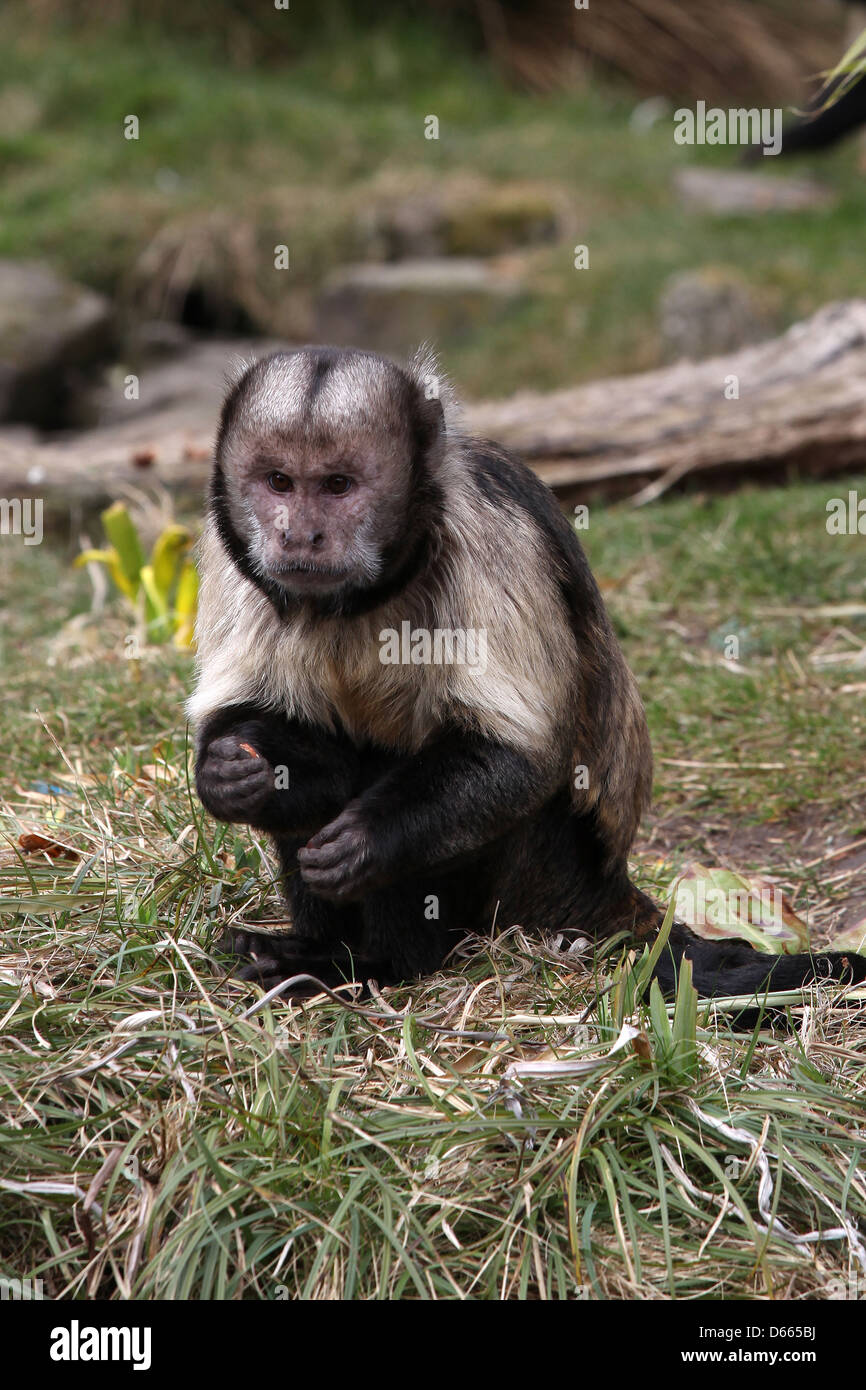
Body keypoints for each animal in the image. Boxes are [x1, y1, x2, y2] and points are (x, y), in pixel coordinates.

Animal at [188, 345, 866, 1006]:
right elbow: (246, 722)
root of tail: (607, 888)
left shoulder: (489, 535)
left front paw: (369, 840)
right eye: (279, 482)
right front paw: (230, 774)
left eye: (337, 485)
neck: (366, 596)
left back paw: (378, 964)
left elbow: (516, 759)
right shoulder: (231, 550)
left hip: (540, 878)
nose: (299, 534)